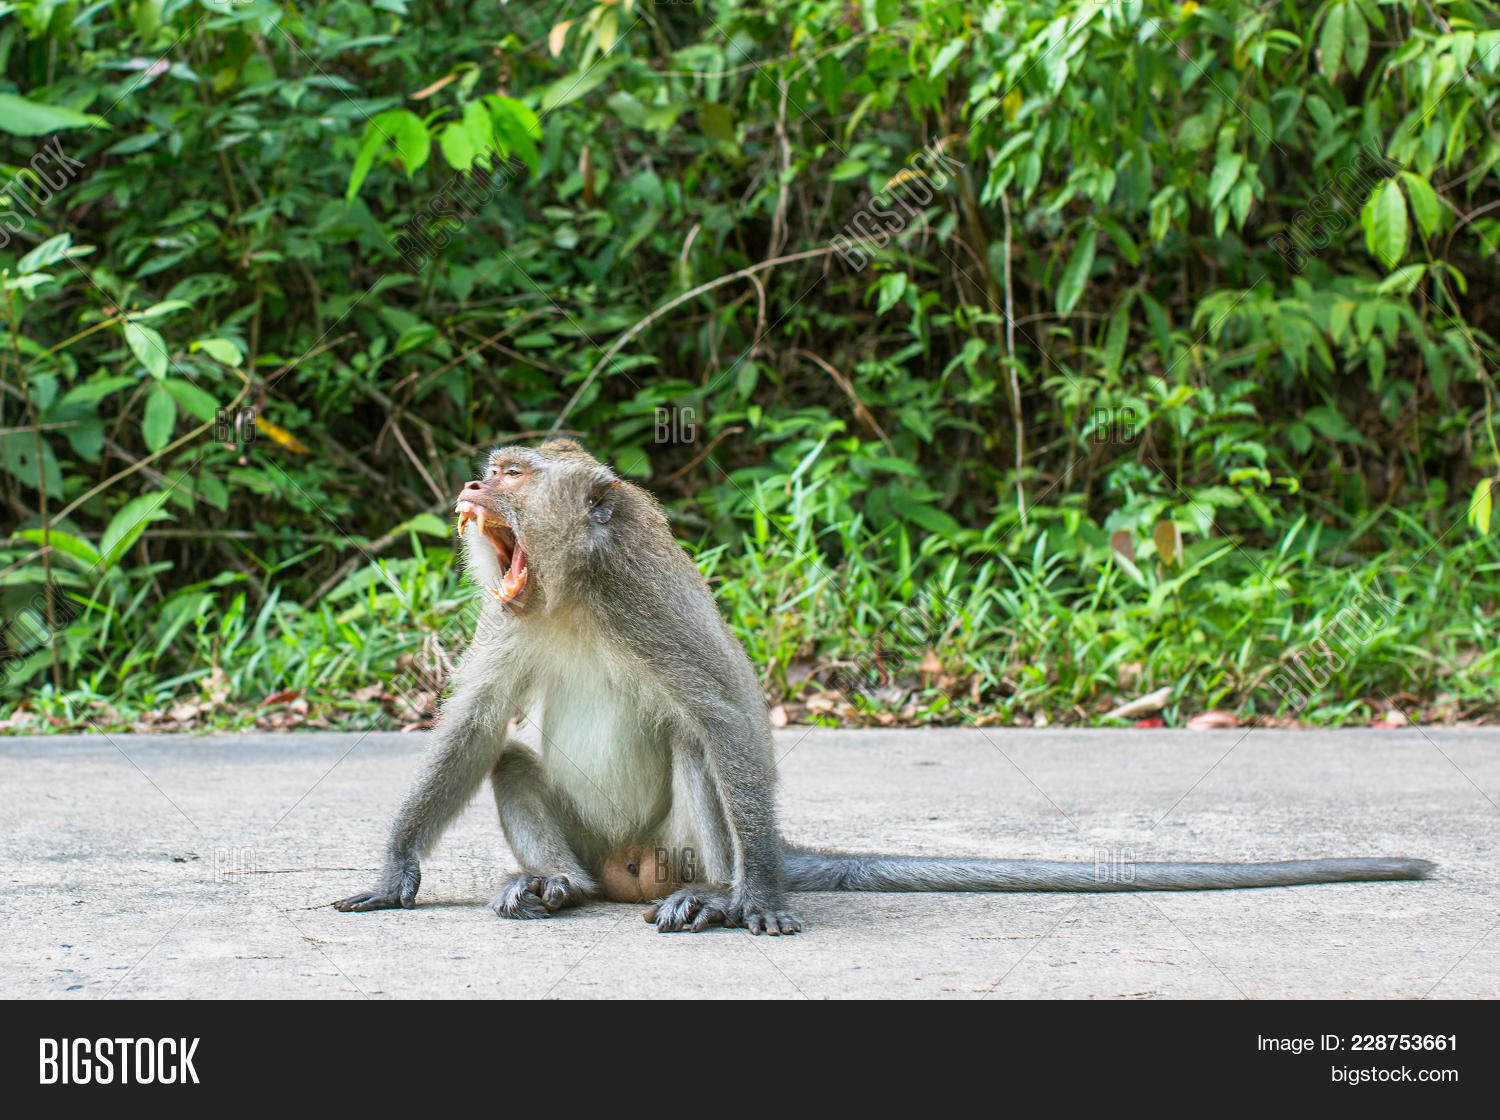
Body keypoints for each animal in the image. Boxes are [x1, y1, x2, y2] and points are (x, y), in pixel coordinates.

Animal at [333, 438, 1433, 934]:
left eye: (514, 473)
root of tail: (634, 871)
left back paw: (719, 895)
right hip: (605, 855)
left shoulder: (643, 601)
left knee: (696, 747)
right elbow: (478, 725)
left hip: (675, 846)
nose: (472, 486)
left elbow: (726, 718)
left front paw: (761, 899)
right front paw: (396, 871)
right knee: (514, 762)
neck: (569, 596)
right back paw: (558, 883)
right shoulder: (509, 617)